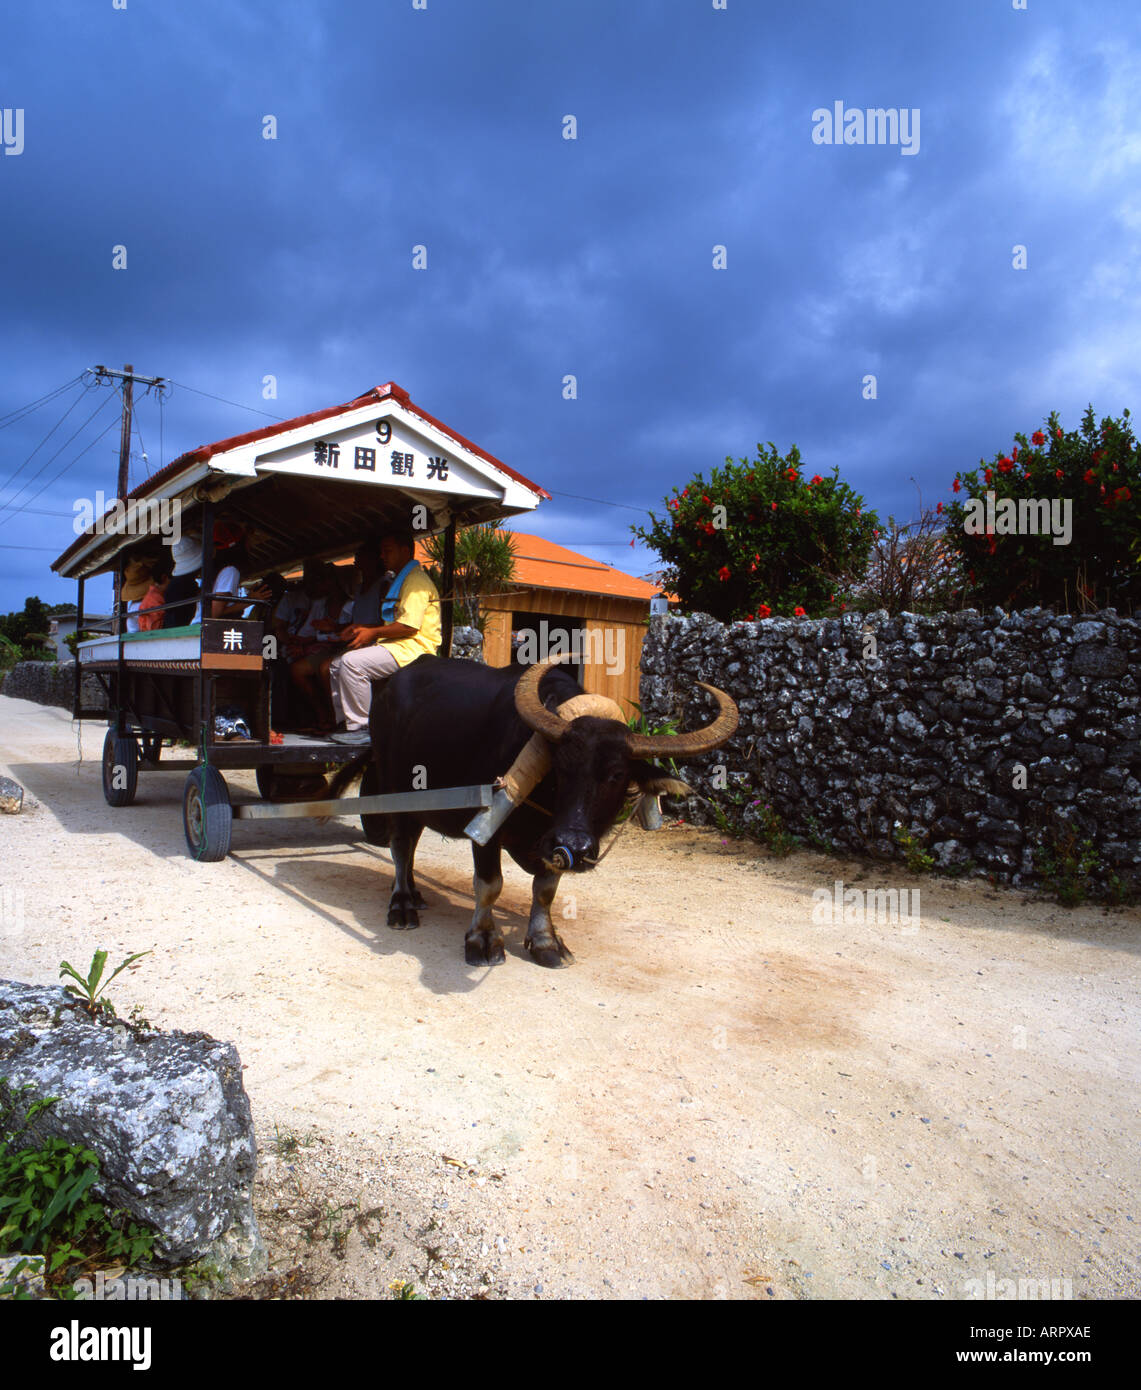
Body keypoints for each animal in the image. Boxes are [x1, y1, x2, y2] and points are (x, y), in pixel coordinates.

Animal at [327, 655, 738, 967]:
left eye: (617, 775)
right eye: (559, 766)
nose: (575, 844)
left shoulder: (550, 844)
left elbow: (545, 890)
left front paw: (546, 942)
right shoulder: (487, 826)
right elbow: (489, 885)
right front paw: (482, 941)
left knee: (410, 845)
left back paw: (415, 894)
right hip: (394, 786)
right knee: (400, 846)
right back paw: (401, 907)